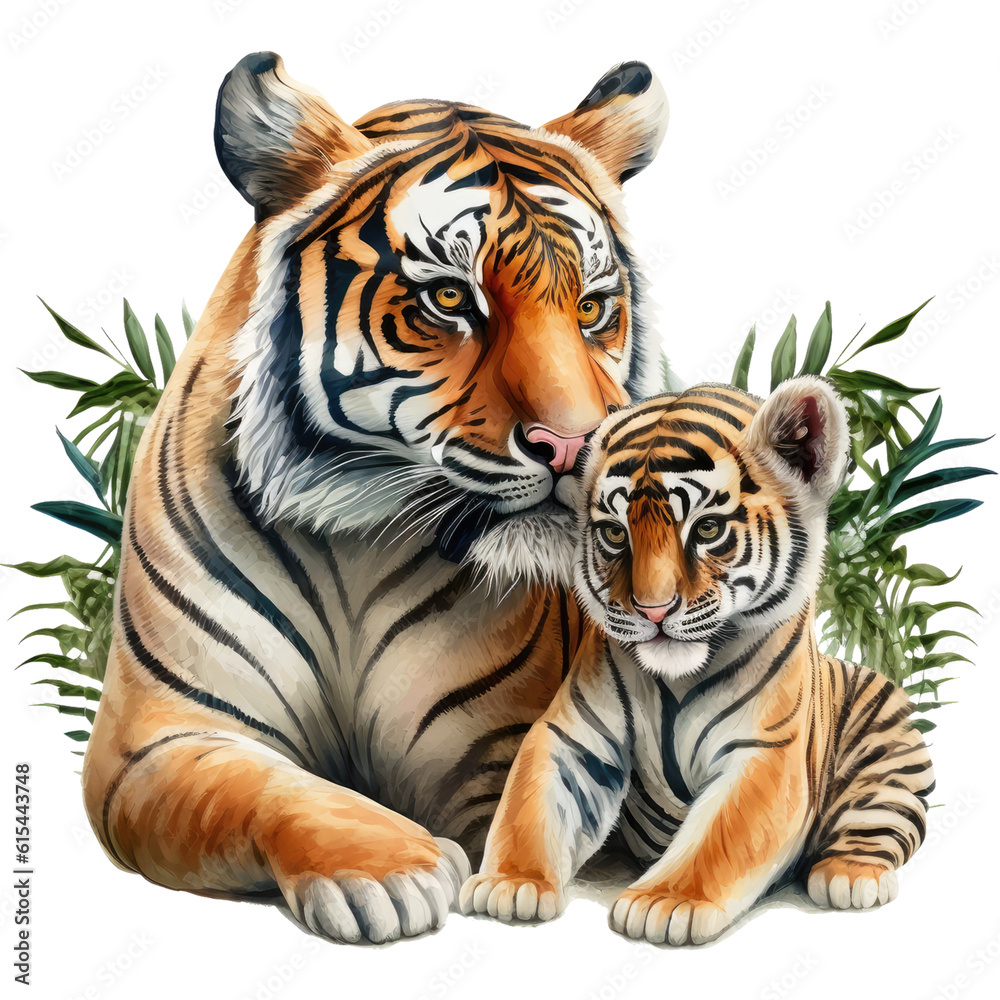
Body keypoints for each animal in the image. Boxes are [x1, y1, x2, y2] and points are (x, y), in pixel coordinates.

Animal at [80, 52, 670, 944]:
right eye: (451, 299)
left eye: (594, 307)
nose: (575, 448)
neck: (355, 541)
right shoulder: (157, 737)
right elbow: (266, 786)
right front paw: (391, 871)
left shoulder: (499, 748)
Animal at [462, 377, 934, 944]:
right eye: (615, 534)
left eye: (707, 529)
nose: (652, 609)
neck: (679, 679)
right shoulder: (573, 733)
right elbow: (529, 805)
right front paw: (510, 883)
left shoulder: (764, 751)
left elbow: (720, 838)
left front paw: (664, 902)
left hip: (888, 751)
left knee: (878, 827)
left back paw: (849, 876)